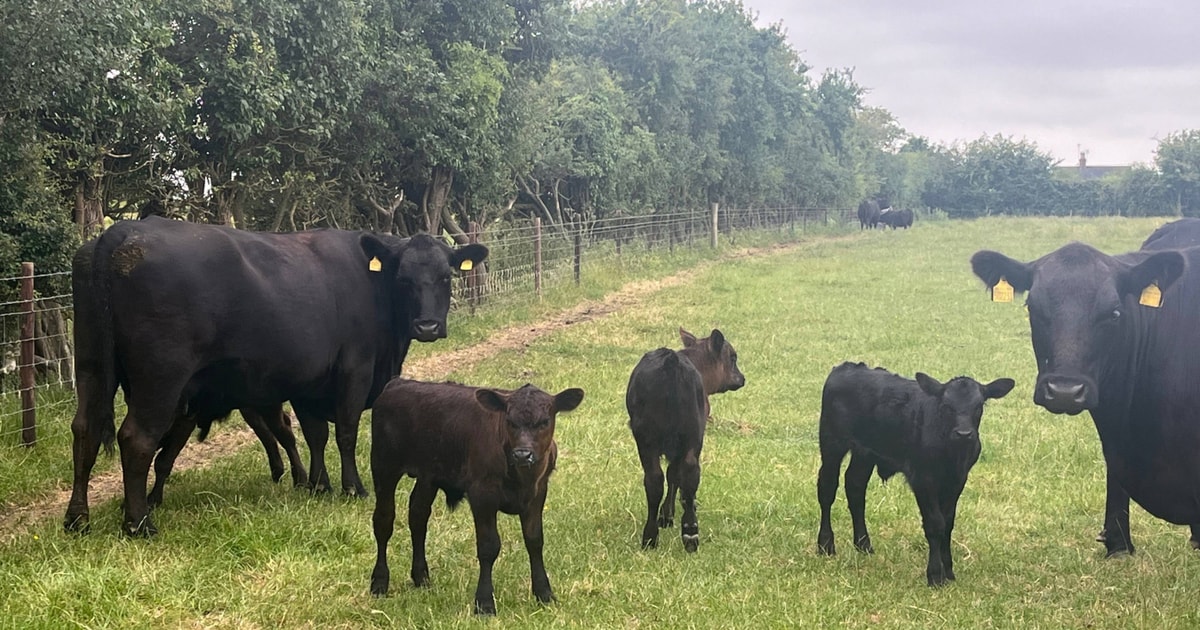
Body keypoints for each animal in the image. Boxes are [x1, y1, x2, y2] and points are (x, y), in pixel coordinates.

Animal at [64, 216, 487, 536]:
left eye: (446, 276)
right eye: (403, 279)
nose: (427, 326)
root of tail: (122, 231)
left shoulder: (310, 380)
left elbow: (314, 434)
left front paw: (318, 486)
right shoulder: (355, 368)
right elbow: (345, 432)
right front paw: (352, 488)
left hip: (90, 366)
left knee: (85, 429)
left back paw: (77, 518)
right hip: (161, 378)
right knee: (136, 439)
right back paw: (139, 523)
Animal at [368, 379, 585, 616]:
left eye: (544, 421)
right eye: (509, 421)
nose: (522, 454)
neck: (522, 478)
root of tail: (398, 383)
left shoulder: (538, 493)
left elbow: (535, 541)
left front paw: (544, 594)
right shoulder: (482, 494)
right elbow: (489, 546)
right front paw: (484, 603)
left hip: (428, 476)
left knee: (418, 517)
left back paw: (421, 578)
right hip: (384, 466)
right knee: (383, 521)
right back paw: (379, 582)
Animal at [627, 328, 745, 552]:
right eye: (733, 357)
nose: (742, 378)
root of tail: (671, 361)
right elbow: (674, 476)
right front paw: (669, 514)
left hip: (652, 438)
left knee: (659, 478)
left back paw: (661, 535)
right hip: (682, 436)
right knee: (681, 474)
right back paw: (680, 532)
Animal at [816, 362, 1014, 586]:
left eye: (979, 406)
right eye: (946, 406)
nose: (964, 434)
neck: (952, 453)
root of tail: (847, 367)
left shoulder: (957, 480)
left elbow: (948, 523)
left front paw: (949, 571)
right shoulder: (923, 479)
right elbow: (935, 524)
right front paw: (935, 575)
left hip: (864, 453)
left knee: (855, 488)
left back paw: (863, 545)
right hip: (832, 443)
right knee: (827, 489)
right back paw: (825, 545)